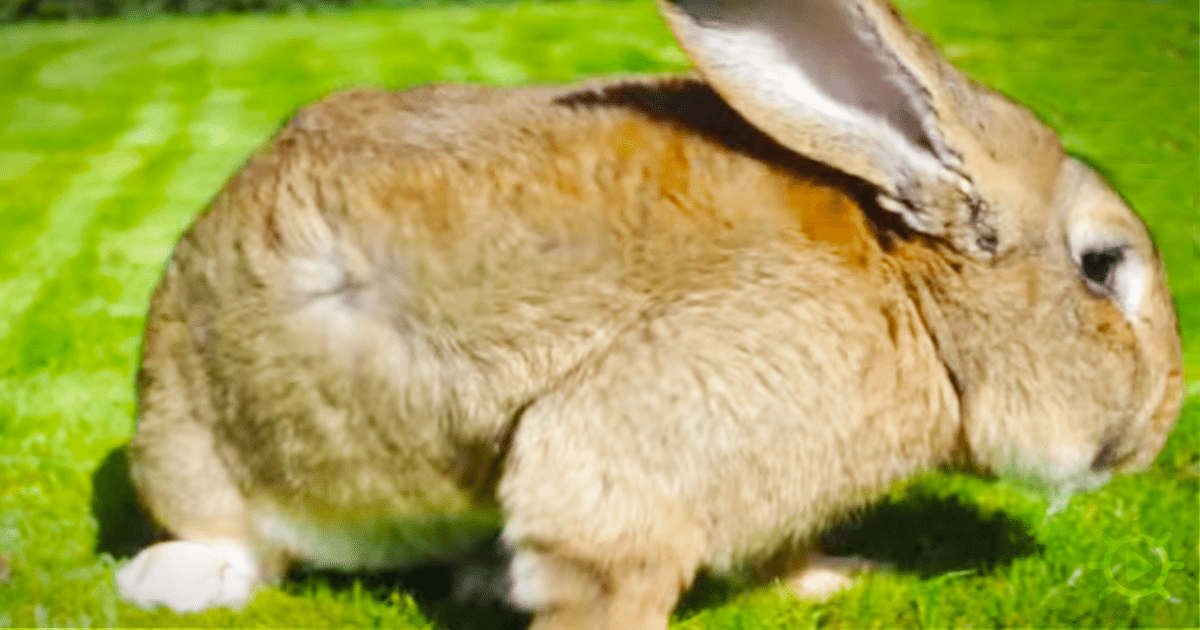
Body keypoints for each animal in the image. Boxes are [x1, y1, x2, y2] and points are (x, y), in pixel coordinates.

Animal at [114, 0, 1185, 627]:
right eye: (1103, 267)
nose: (1155, 433)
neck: (910, 292)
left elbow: (776, 550)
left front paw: (832, 576)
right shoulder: (618, 463)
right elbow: (610, 569)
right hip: (199, 444)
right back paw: (175, 582)